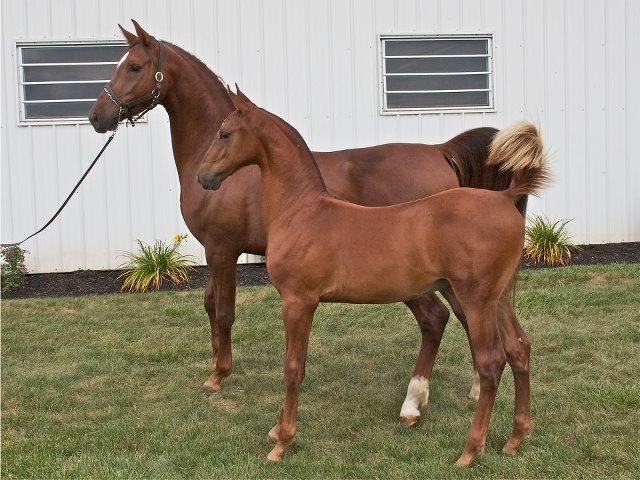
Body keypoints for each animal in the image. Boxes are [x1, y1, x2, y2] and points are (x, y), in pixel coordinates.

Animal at [88, 21, 527, 422]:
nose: (97, 116)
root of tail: (440, 151)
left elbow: (223, 310)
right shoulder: (217, 251)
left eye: (134, 66)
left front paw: (218, 375)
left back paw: (429, 398)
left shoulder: (222, 249)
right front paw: (216, 370)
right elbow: (210, 303)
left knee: (444, 318)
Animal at [196, 90, 548, 466]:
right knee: (518, 348)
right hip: (499, 298)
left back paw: (470, 450)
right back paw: (514, 439)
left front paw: (282, 442)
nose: (203, 177)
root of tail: (504, 196)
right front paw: (277, 431)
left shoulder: (298, 301)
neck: (302, 211)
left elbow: (292, 368)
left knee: (491, 362)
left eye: (224, 133)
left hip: (476, 300)